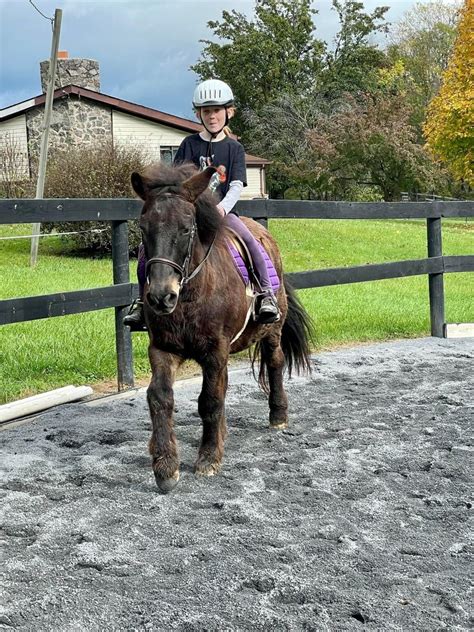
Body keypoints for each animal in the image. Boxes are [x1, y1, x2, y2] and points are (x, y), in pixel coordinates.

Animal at [131, 163, 312, 494]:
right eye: (143, 227)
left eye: (186, 228)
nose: (161, 296)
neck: (191, 296)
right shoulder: (163, 348)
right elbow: (160, 397)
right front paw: (165, 467)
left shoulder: (215, 350)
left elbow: (210, 400)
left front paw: (208, 458)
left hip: (272, 331)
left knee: (275, 363)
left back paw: (278, 415)